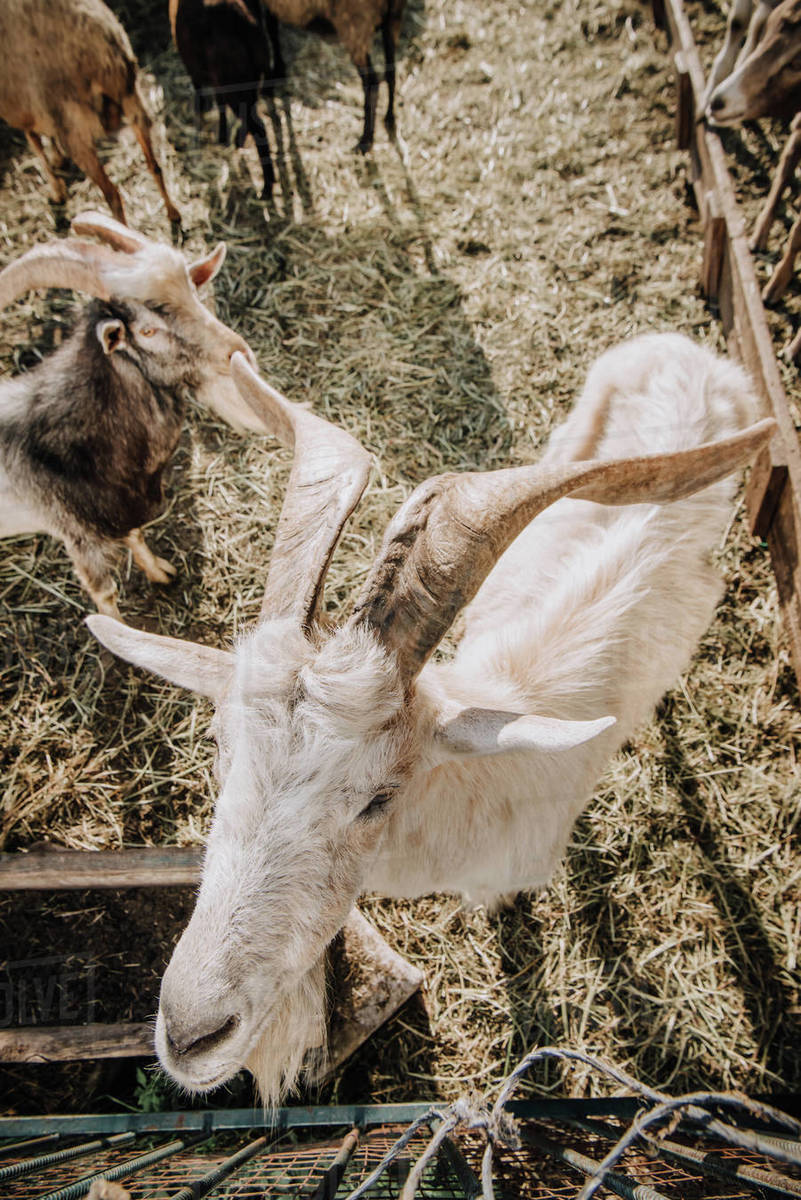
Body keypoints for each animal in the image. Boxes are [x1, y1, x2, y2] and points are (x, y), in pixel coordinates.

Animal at [0, 0, 179, 225]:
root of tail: (102, 52)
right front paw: (58, 161)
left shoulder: (24, 111)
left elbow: (37, 148)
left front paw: (57, 192)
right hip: (131, 98)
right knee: (154, 165)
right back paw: (173, 213)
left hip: (74, 128)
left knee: (112, 193)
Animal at [1, 211, 261, 617]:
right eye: (148, 330)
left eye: (193, 293)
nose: (239, 352)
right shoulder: (80, 538)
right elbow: (105, 596)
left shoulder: (128, 507)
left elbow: (137, 535)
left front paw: (160, 572)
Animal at [169, 0, 276, 196]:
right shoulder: (215, 79)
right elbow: (219, 103)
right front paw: (222, 135)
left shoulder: (195, 69)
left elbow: (200, 100)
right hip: (252, 76)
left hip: (234, 82)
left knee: (259, 128)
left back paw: (266, 188)